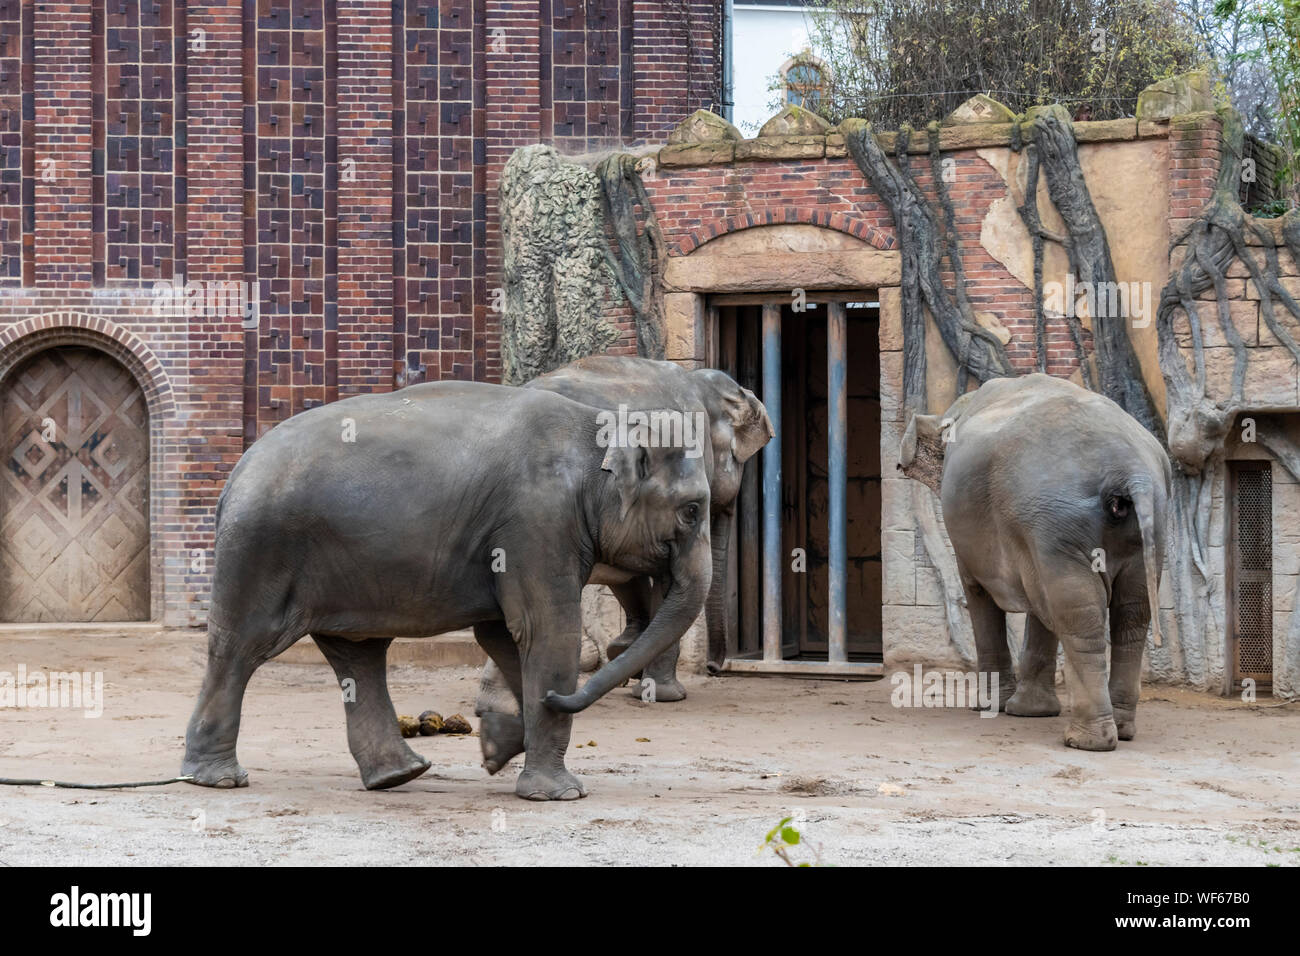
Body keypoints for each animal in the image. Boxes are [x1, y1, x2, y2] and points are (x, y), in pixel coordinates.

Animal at [181, 381, 713, 800]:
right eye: (692, 511)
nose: (556, 699)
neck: (603, 424)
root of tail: (235, 474)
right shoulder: (538, 521)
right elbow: (546, 629)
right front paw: (559, 793)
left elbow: (503, 635)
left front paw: (497, 747)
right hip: (260, 548)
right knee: (239, 649)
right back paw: (219, 779)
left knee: (358, 656)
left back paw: (398, 776)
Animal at [900, 373, 1169, 751]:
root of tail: (1130, 469)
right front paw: (1030, 712)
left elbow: (979, 594)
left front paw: (991, 707)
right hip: (1146, 524)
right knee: (1131, 612)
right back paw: (1121, 729)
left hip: (1060, 521)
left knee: (1078, 612)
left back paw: (1084, 740)